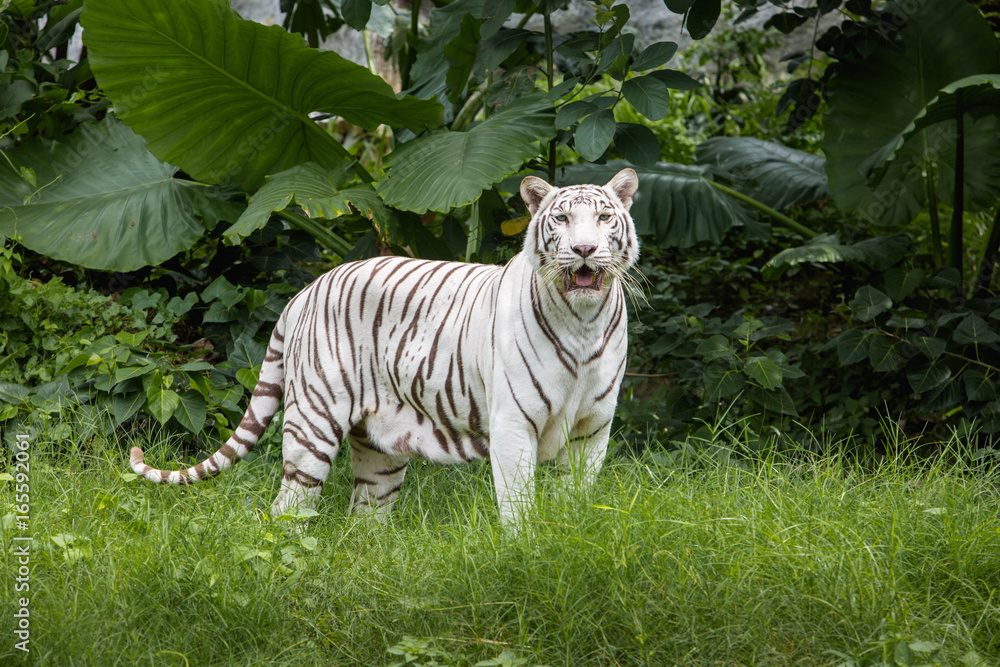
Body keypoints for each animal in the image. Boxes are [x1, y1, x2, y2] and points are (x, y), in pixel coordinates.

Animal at [130, 168, 640, 524]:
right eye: (562, 219)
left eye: (603, 218)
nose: (584, 250)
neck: (583, 322)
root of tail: (306, 290)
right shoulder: (514, 424)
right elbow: (518, 505)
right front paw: (524, 548)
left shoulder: (593, 428)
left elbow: (576, 498)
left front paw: (567, 534)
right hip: (312, 425)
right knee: (288, 507)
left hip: (381, 452)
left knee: (364, 517)